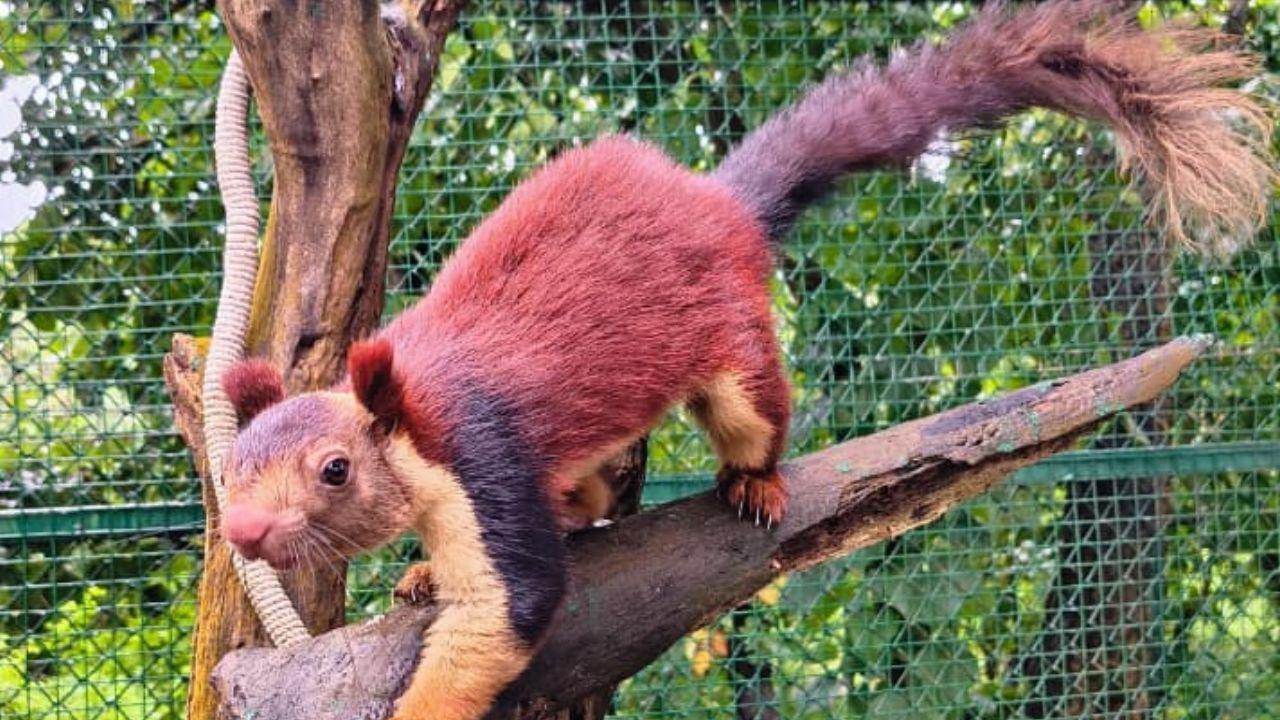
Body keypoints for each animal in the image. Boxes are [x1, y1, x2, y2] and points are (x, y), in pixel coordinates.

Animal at [217, 2, 1274, 719]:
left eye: (335, 469)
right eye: (229, 468)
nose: (245, 532)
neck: (412, 417)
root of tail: (720, 205)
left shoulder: (483, 463)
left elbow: (508, 610)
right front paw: (419, 577)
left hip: (733, 357)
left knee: (752, 419)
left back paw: (755, 483)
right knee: (592, 495)